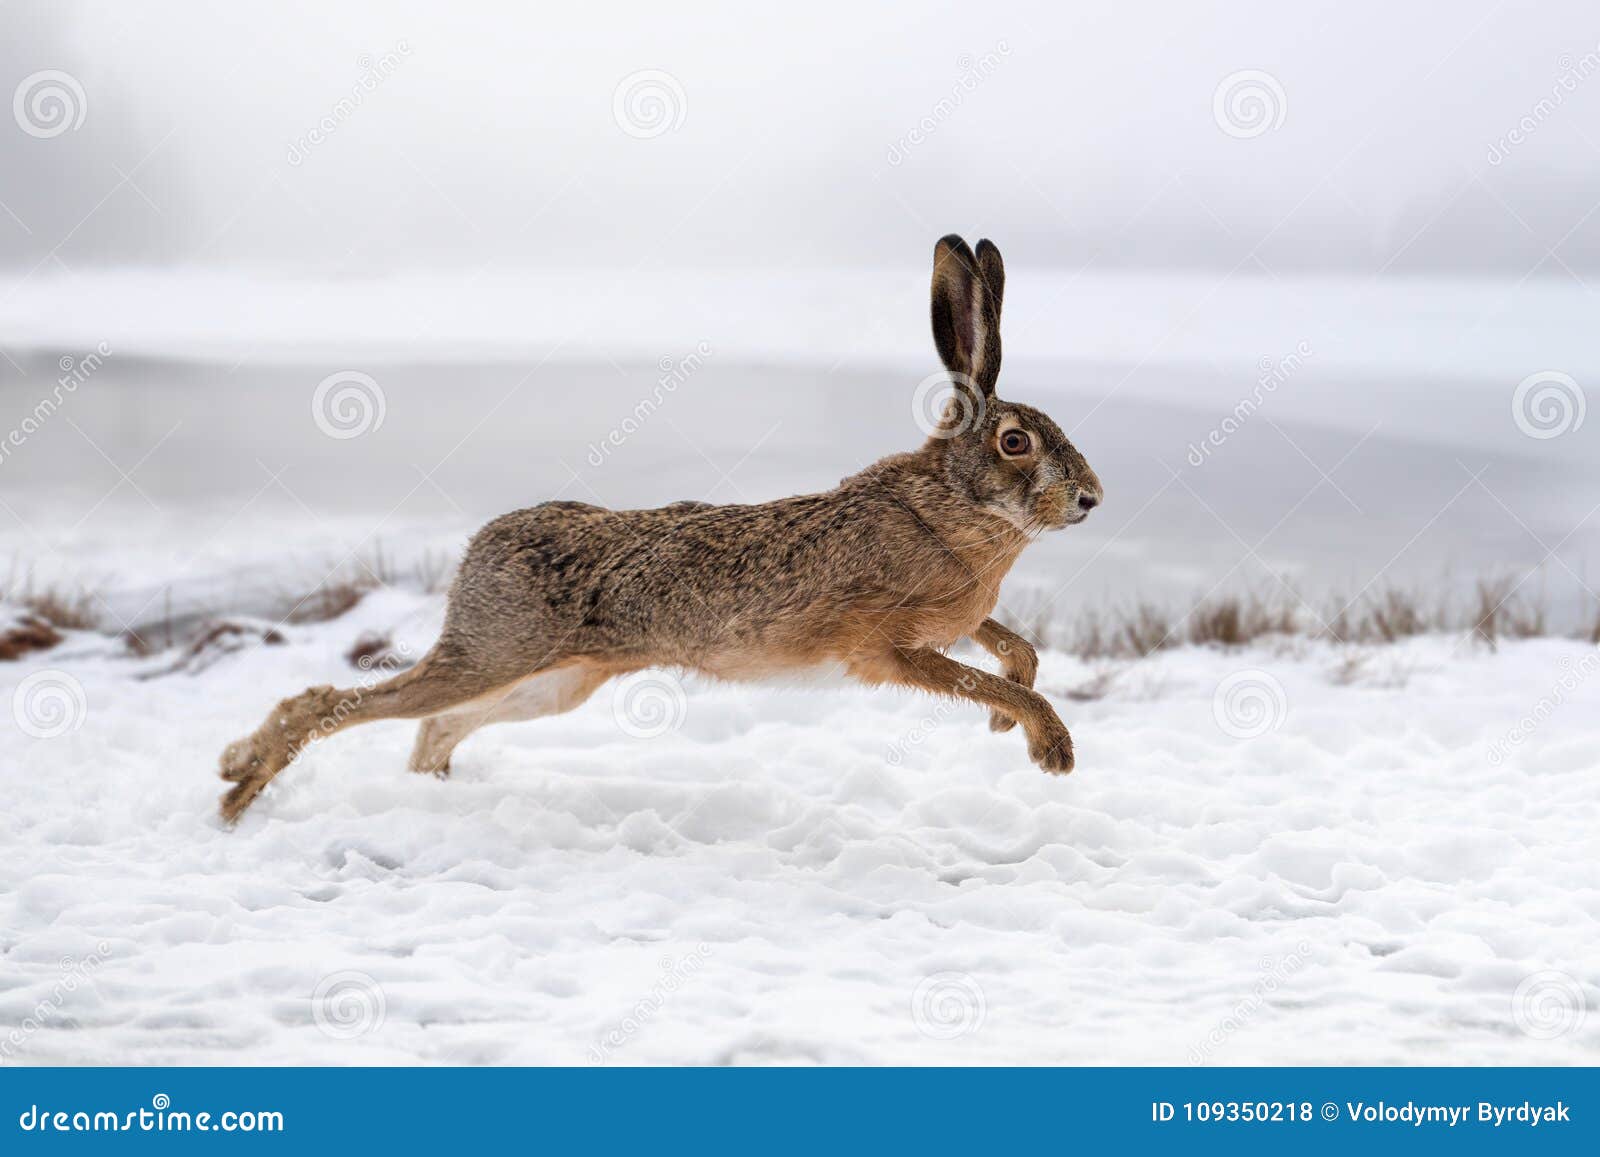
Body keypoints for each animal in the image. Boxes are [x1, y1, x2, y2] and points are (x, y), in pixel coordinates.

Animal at [218, 235, 1103, 822]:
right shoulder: (885, 646)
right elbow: (986, 674)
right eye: (1016, 442)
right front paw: (1049, 747)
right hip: (495, 651)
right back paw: (239, 780)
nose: (1092, 497)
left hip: (555, 679)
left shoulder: (957, 617)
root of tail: (481, 545)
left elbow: (1014, 647)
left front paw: (1006, 721)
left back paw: (432, 797)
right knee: (338, 700)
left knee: (435, 724)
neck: (951, 506)